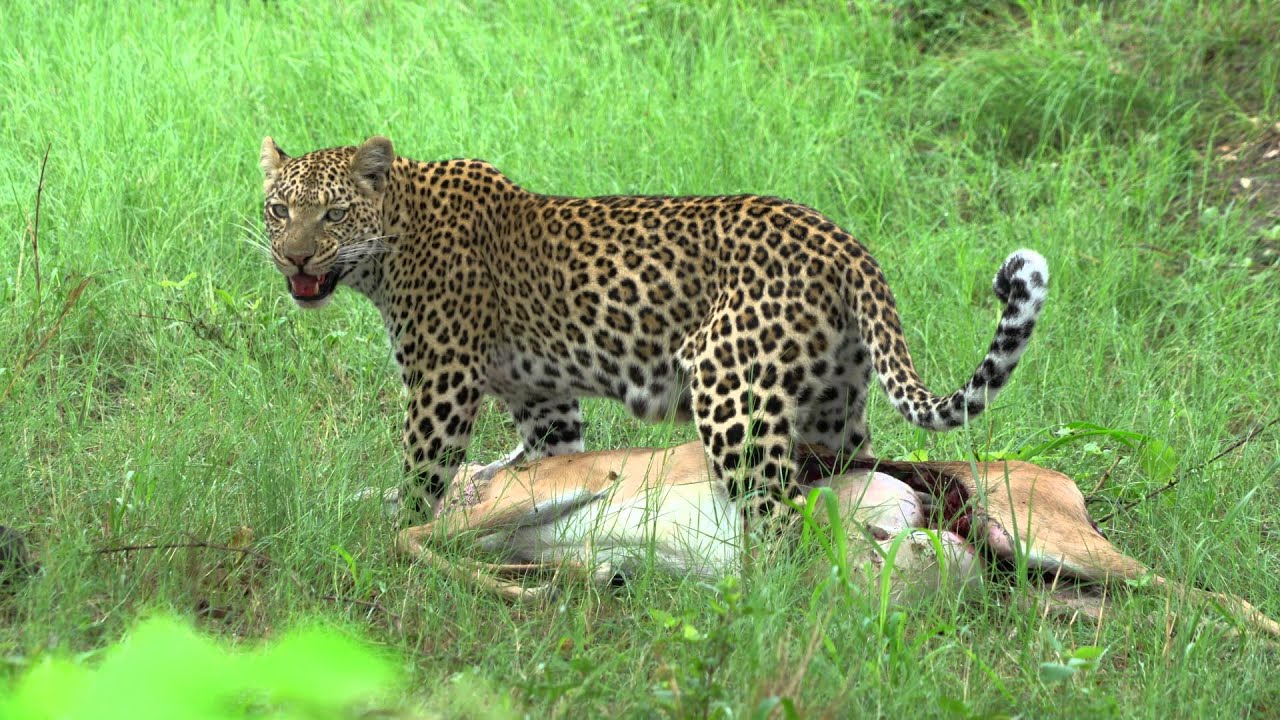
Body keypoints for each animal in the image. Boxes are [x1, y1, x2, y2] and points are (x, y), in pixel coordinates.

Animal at [257, 135, 1049, 525]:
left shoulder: (441, 383)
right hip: (831, 401)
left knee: (776, 516)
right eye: (277, 209)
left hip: (734, 397)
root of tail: (845, 243)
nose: (292, 256)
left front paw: (387, 536)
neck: (389, 245)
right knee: (842, 472)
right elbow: (551, 456)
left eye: (332, 214)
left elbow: (422, 469)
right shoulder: (545, 403)